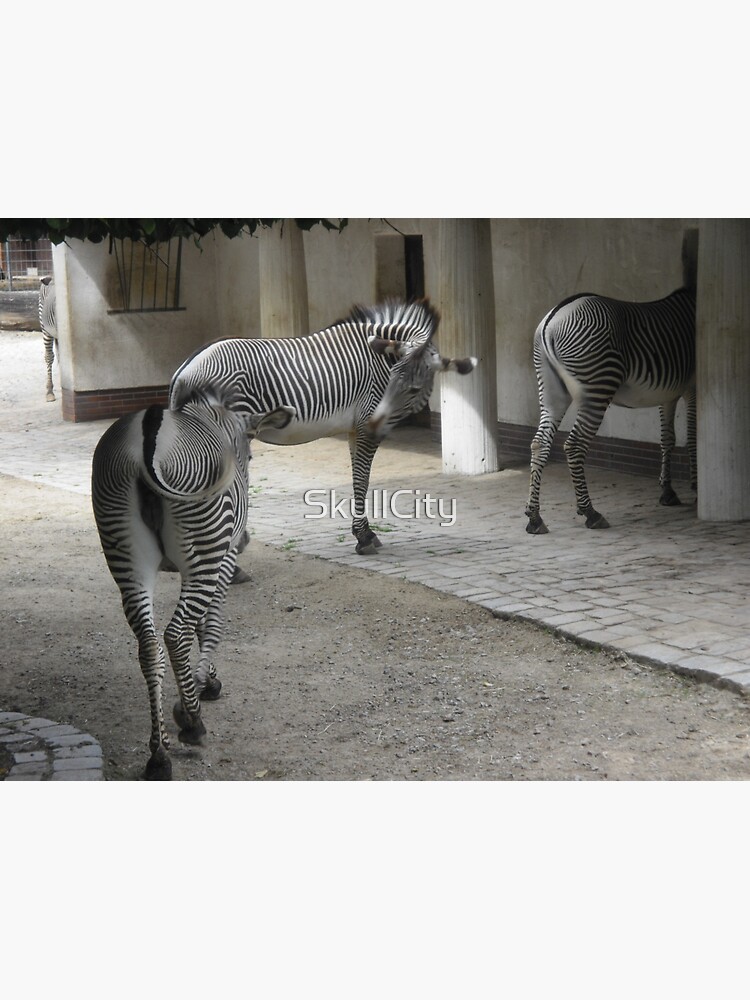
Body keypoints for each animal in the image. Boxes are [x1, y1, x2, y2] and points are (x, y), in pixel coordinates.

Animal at [91, 386, 294, 780]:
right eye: (249, 454)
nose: (246, 539)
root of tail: (147, 440)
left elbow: (199, 624)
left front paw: (202, 682)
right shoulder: (224, 559)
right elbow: (210, 624)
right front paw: (203, 686)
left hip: (126, 554)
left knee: (149, 644)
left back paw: (159, 754)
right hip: (206, 545)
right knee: (174, 633)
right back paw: (193, 724)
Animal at [169, 298, 477, 555]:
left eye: (413, 389)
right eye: (391, 383)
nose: (378, 425)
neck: (380, 359)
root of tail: (185, 370)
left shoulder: (357, 428)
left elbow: (359, 479)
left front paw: (362, 533)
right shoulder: (365, 425)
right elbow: (362, 479)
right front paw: (364, 537)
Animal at [525, 278, 696, 535]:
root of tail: (551, 321)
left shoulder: (668, 394)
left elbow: (668, 439)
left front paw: (667, 491)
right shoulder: (693, 386)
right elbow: (694, 438)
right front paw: (696, 487)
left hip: (552, 390)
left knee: (539, 443)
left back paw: (534, 517)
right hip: (598, 384)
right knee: (574, 445)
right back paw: (590, 512)